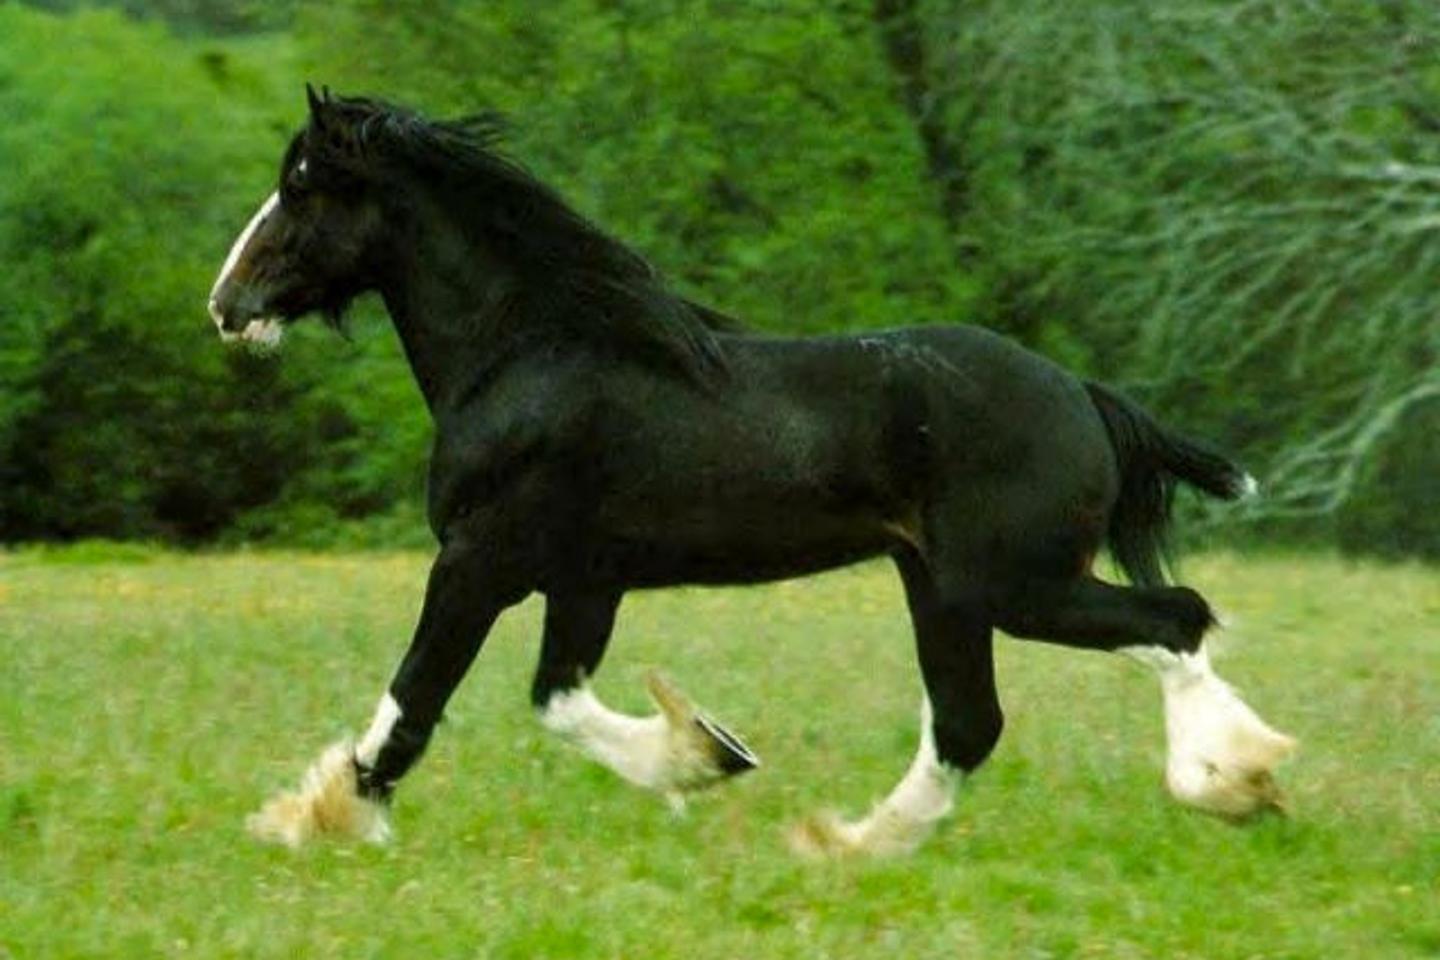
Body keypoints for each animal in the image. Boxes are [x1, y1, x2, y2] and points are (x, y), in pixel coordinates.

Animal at [207, 87, 1295, 855]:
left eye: (301, 184)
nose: (228, 302)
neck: (532, 354)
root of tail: (1081, 393)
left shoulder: (480, 560)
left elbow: (414, 698)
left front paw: (320, 818)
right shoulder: (583, 578)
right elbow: (557, 699)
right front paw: (706, 755)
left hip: (1012, 583)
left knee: (1173, 620)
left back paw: (1232, 781)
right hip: (943, 587)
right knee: (969, 722)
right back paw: (844, 848)